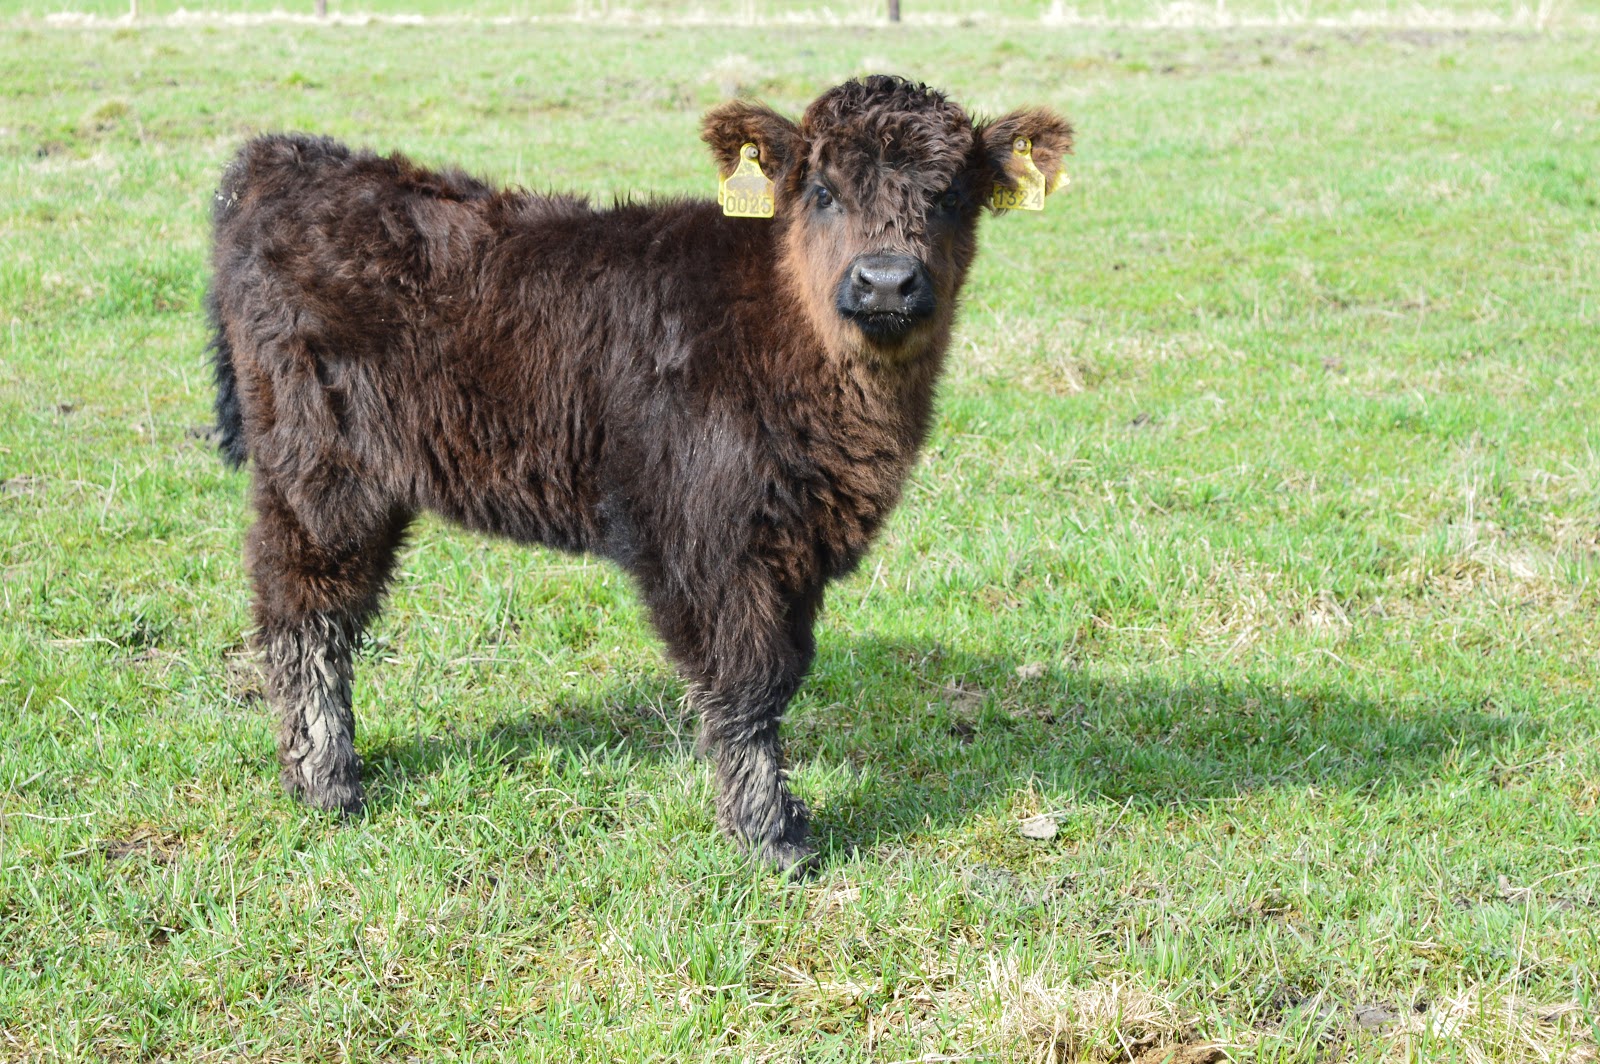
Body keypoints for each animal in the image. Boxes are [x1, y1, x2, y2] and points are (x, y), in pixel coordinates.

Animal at [207, 75, 1072, 870]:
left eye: (953, 195)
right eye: (823, 190)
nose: (886, 280)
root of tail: (286, 159)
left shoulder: (797, 546)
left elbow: (785, 670)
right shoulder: (708, 537)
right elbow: (747, 682)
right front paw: (771, 836)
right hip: (320, 473)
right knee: (306, 613)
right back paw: (328, 782)